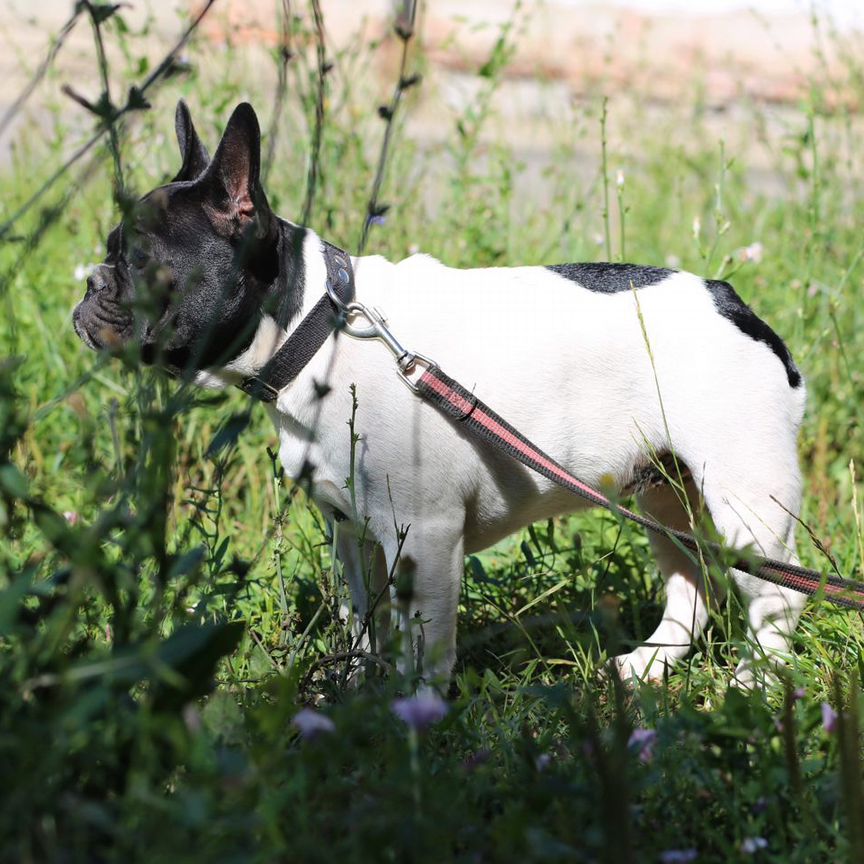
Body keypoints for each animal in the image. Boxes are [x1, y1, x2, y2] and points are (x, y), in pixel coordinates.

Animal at [71, 104, 808, 688]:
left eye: (137, 261)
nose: (90, 282)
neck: (317, 324)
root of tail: (731, 302)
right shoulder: (351, 530)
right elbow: (361, 618)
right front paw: (352, 690)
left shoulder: (423, 534)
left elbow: (424, 643)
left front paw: (413, 714)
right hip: (664, 491)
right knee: (691, 581)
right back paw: (651, 664)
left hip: (743, 496)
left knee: (776, 595)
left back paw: (755, 685)